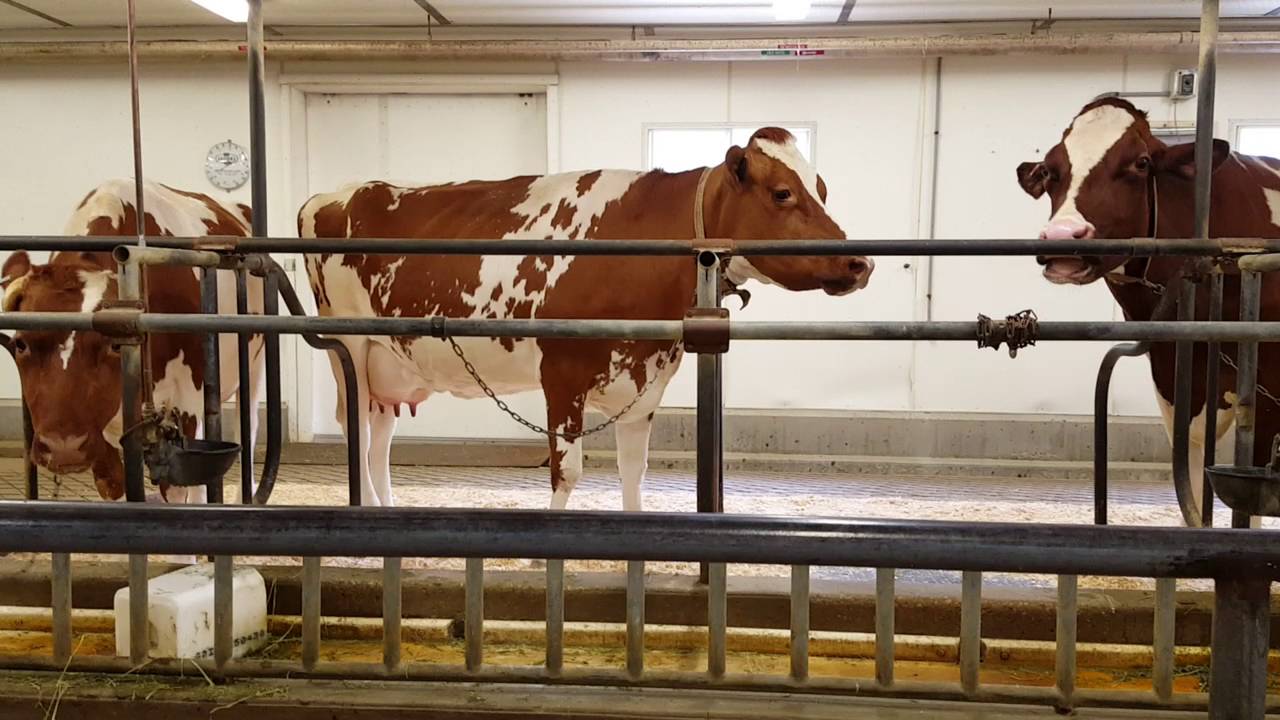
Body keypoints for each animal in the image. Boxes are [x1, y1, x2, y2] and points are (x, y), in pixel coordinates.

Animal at [1, 179, 267, 504]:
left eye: (115, 345)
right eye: (21, 343)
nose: (64, 447)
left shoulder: (187, 403)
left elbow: (184, 487)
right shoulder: (101, 437)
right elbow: (116, 487)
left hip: (254, 367)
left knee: (247, 429)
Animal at [301, 127, 873, 509]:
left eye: (821, 189)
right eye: (783, 192)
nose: (859, 262)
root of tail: (332, 194)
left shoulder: (645, 384)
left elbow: (633, 473)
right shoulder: (562, 373)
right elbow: (567, 473)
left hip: (389, 365)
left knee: (379, 439)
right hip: (350, 347)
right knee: (356, 432)